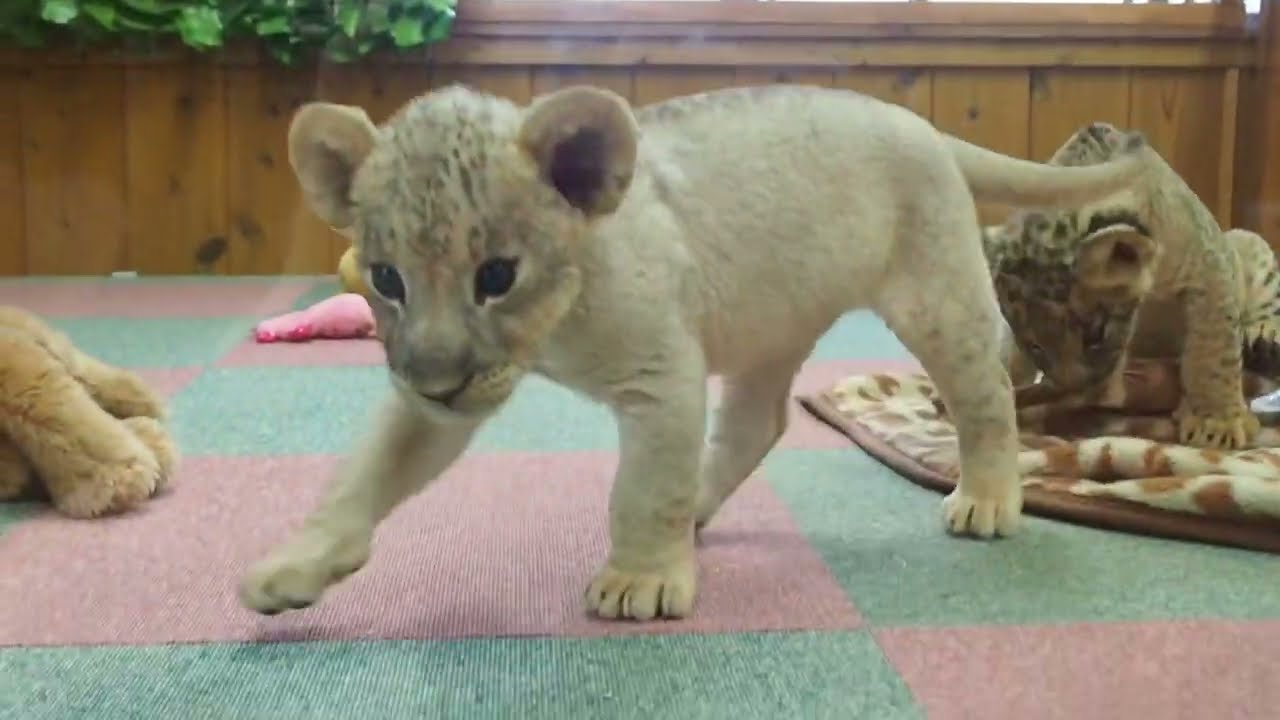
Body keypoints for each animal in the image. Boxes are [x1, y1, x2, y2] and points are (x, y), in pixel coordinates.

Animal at [238, 84, 1149, 621]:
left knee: (986, 392)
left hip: (937, 295)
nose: (436, 381)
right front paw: (292, 568)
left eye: (496, 274)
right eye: (386, 278)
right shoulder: (436, 395)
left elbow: (643, 491)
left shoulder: (660, 376)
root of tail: (918, 122)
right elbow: (366, 473)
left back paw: (988, 500)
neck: (555, 321)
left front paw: (640, 581)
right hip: (769, 316)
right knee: (758, 421)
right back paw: (703, 507)